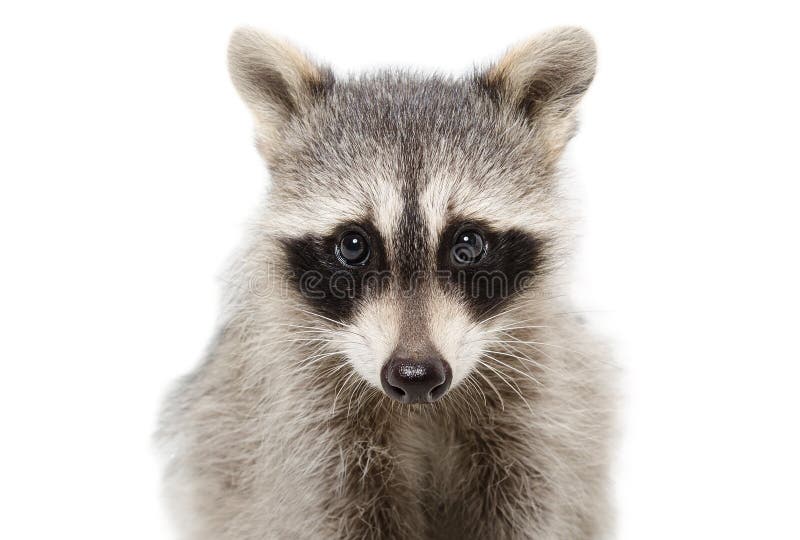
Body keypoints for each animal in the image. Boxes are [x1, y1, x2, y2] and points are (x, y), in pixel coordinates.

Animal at [159, 26, 616, 540]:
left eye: (468, 243)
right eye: (353, 245)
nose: (415, 376)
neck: (422, 409)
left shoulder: (544, 416)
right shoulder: (301, 430)